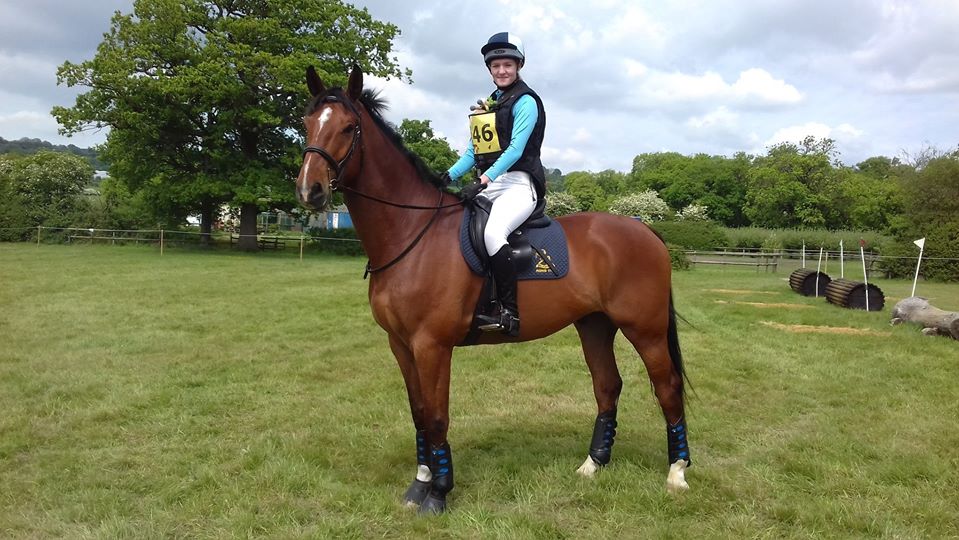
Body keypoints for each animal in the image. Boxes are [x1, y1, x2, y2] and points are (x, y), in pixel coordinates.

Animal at [296, 65, 692, 514]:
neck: (412, 233)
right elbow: (418, 413)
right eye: (307, 122)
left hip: (645, 329)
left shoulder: (431, 345)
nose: (310, 191)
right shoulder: (401, 344)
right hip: (594, 325)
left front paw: (439, 493)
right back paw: (593, 464)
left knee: (668, 387)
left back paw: (677, 473)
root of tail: (646, 230)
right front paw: (420, 484)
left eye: (348, 128)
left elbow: (436, 416)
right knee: (607, 386)